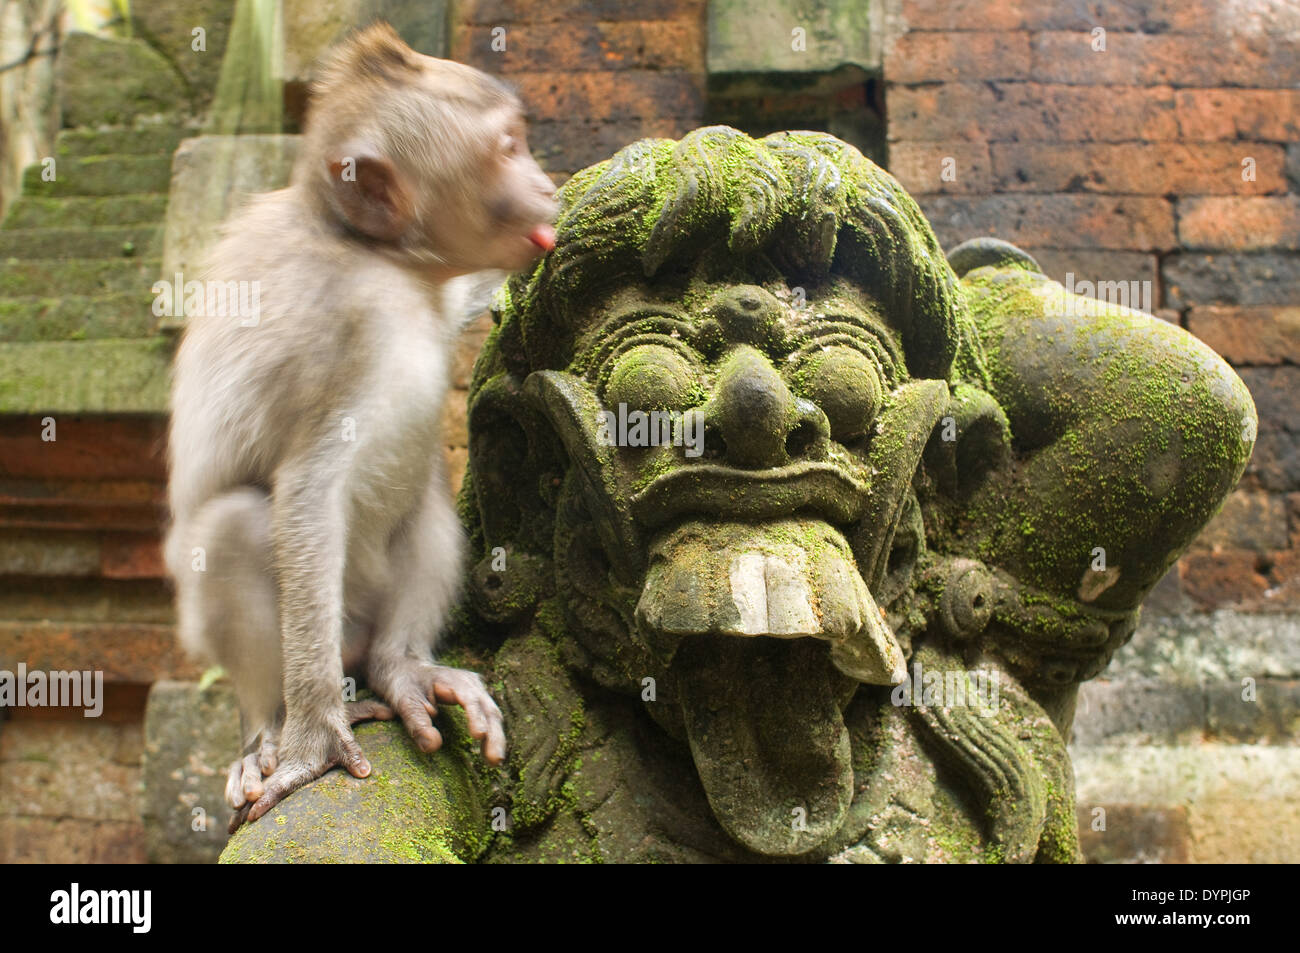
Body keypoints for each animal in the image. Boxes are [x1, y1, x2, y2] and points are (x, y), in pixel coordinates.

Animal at [164, 23, 558, 830]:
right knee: (236, 527)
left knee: (427, 504)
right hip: (318, 624)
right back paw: (272, 729)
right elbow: (309, 488)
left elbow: (473, 290)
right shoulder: (345, 325)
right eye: (507, 147)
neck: (390, 263)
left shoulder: (436, 284)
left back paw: (402, 668)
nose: (544, 185)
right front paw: (314, 743)